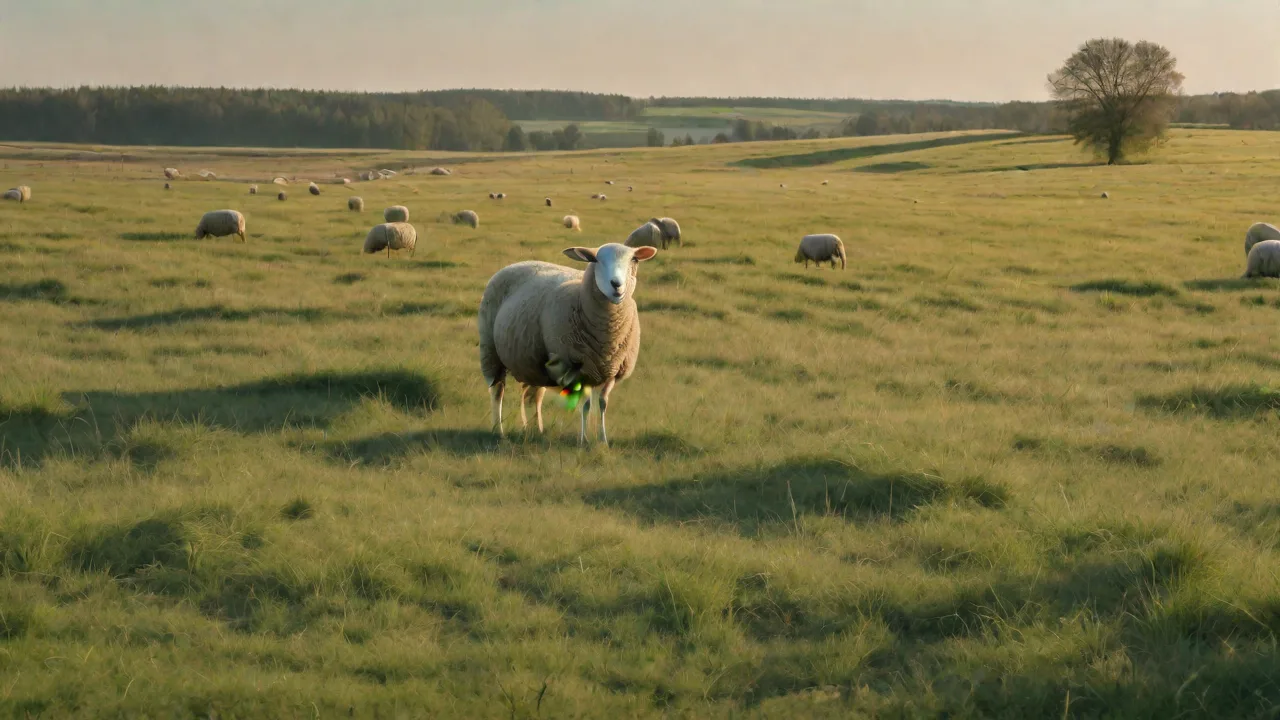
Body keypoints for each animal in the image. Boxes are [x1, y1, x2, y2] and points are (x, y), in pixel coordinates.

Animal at [477, 242, 659, 445]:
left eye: (634, 259)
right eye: (595, 260)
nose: (616, 284)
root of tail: (517, 263)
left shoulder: (613, 370)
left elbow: (602, 403)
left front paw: (603, 440)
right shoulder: (579, 370)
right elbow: (585, 404)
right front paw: (584, 440)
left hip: (534, 362)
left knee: (533, 396)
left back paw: (536, 430)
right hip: (490, 351)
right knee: (497, 392)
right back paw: (498, 431)